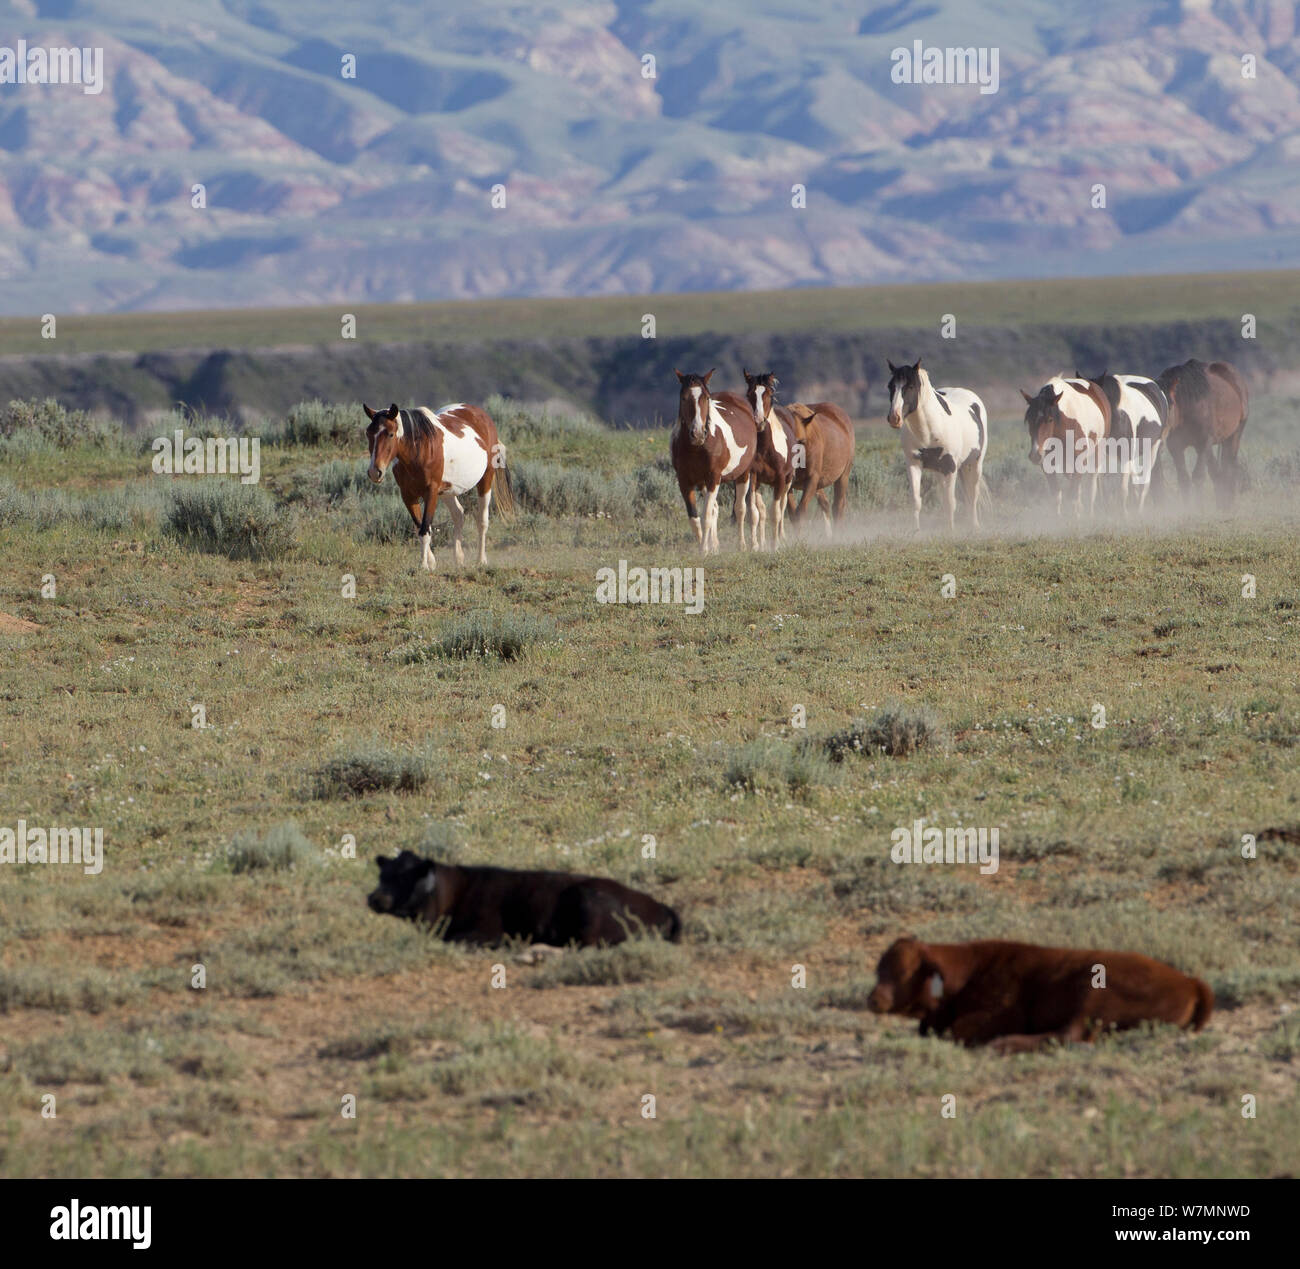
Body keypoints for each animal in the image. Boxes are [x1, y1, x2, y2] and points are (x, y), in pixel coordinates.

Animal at [867, 935, 1213, 1054]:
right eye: (878, 969)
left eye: (903, 971)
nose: (874, 999)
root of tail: (1189, 981)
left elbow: (958, 1030)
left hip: (1094, 995)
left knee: (1071, 1034)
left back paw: (1005, 1044)